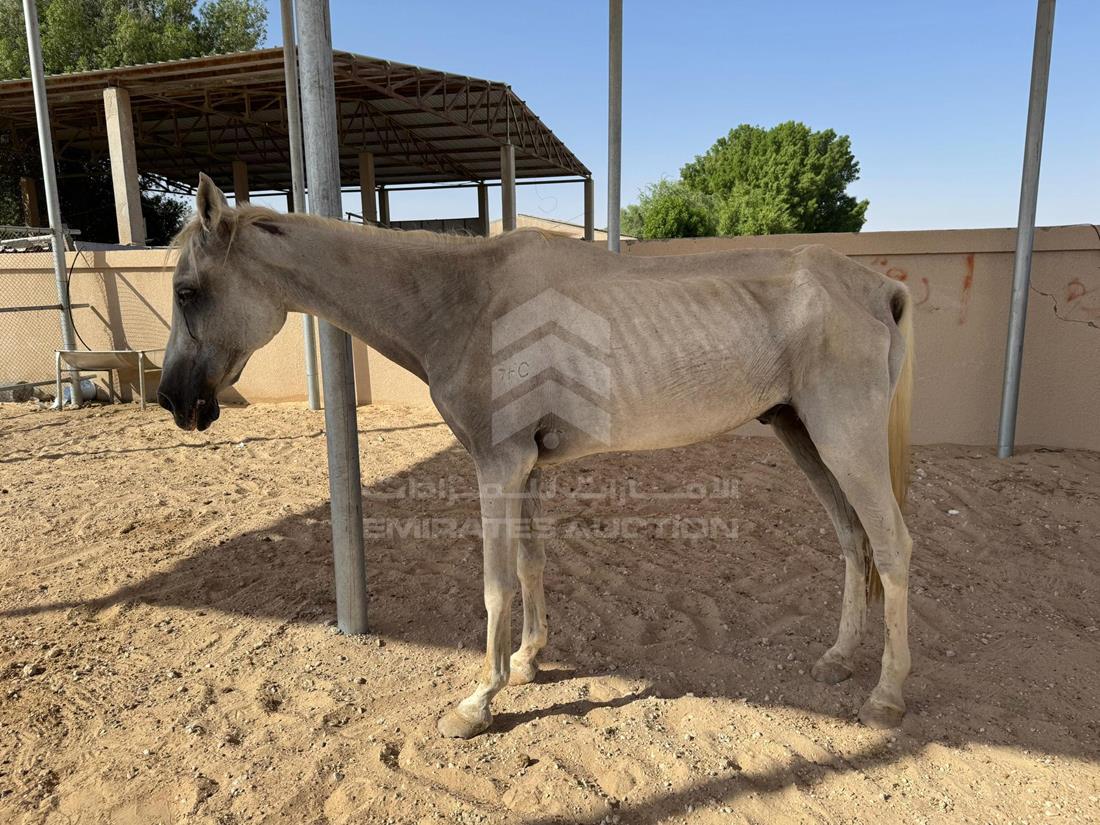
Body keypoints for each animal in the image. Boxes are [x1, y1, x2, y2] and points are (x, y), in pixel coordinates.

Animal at [158, 174, 914, 738]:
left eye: (186, 292)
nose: (174, 400)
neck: (465, 300)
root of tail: (879, 287)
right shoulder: (523, 469)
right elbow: (530, 564)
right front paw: (526, 660)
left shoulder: (497, 468)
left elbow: (496, 582)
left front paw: (477, 702)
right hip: (804, 435)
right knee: (853, 541)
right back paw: (839, 658)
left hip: (843, 438)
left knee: (891, 545)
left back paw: (886, 697)